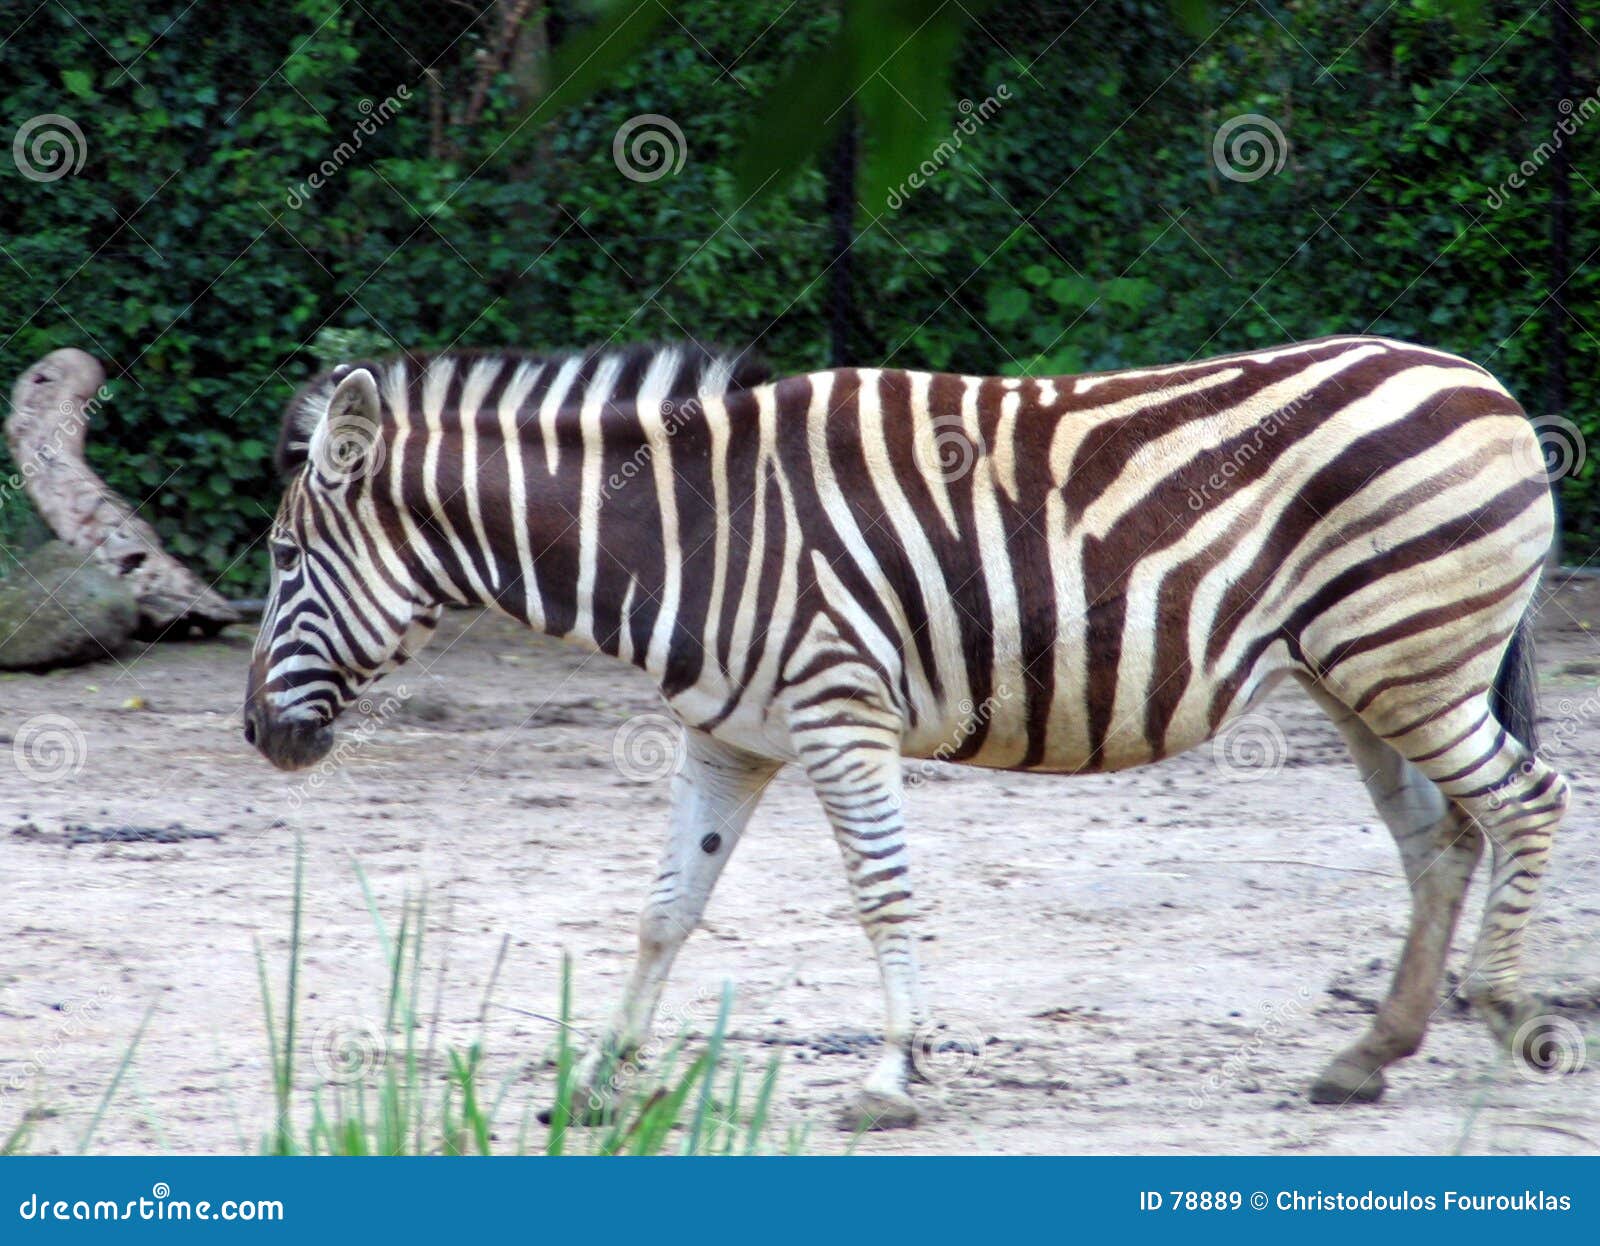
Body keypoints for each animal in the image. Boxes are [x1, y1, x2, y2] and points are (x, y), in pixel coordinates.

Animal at [244, 334, 1571, 1129]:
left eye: (285, 557)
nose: (257, 732)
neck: (694, 534)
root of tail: (1485, 383)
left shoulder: (841, 714)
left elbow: (882, 895)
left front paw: (890, 1074)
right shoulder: (729, 737)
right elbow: (665, 907)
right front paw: (599, 1084)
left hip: (1408, 657)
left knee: (1525, 802)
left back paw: (1508, 1013)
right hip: (1362, 675)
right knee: (1439, 839)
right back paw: (1370, 1051)